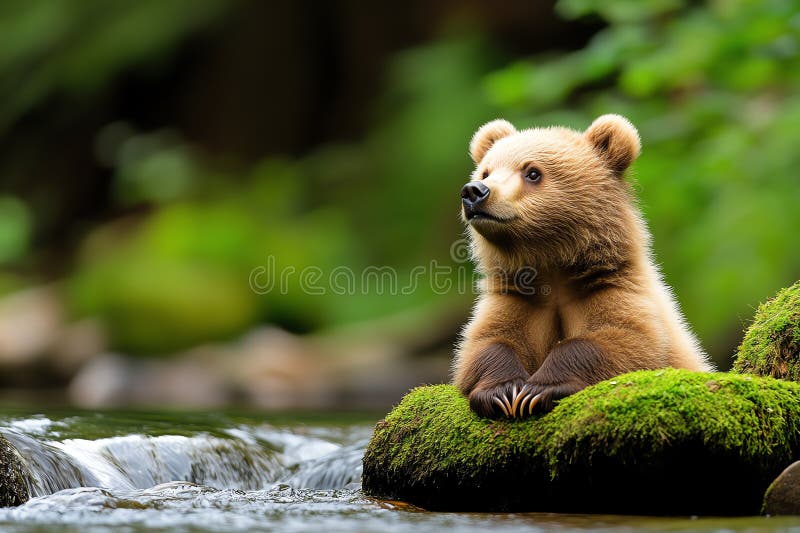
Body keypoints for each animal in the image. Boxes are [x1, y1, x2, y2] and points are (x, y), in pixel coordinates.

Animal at [452, 114, 712, 419]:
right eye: (485, 171)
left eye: (532, 172)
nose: (475, 192)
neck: (552, 271)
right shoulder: (517, 299)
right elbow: (483, 345)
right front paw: (502, 392)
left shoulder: (612, 292)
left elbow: (627, 342)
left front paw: (538, 390)